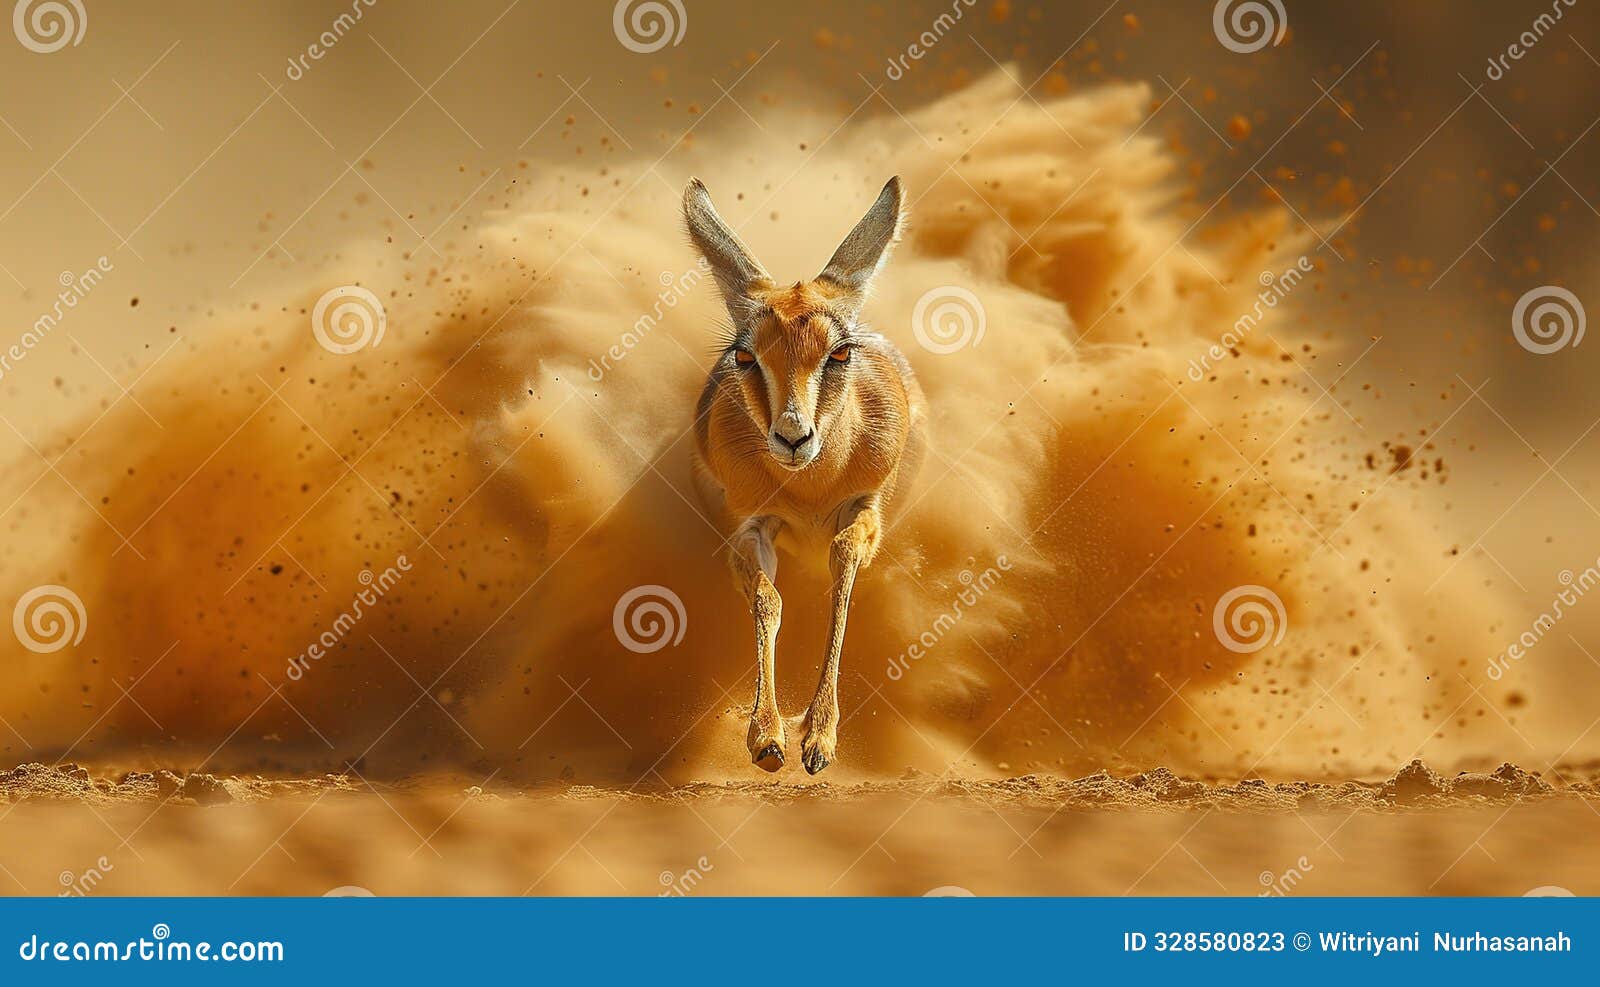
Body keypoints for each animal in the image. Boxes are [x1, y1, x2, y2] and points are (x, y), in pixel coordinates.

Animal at [683, 176, 925, 774]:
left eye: (839, 352)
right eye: (745, 356)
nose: (793, 437)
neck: (812, 488)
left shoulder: (865, 509)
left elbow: (842, 573)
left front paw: (818, 741)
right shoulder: (753, 524)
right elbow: (768, 601)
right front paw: (768, 741)